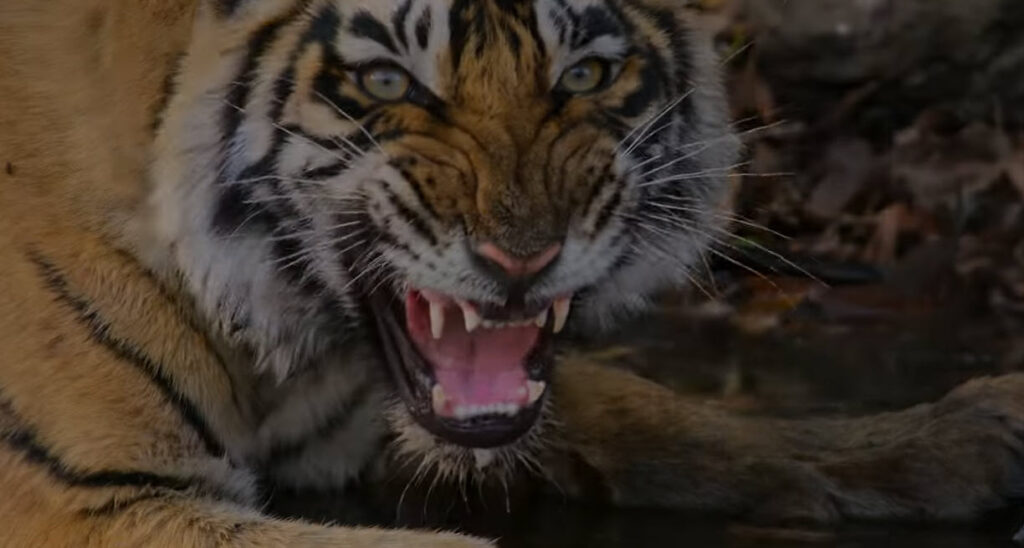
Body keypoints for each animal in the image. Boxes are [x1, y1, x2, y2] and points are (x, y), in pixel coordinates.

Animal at [2, 0, 1024, 545]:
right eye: (387, 82)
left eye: (585, 74)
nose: (523, 255)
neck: (278, 351)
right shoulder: (83, 499)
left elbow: (662, 413)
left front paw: (965, 436)